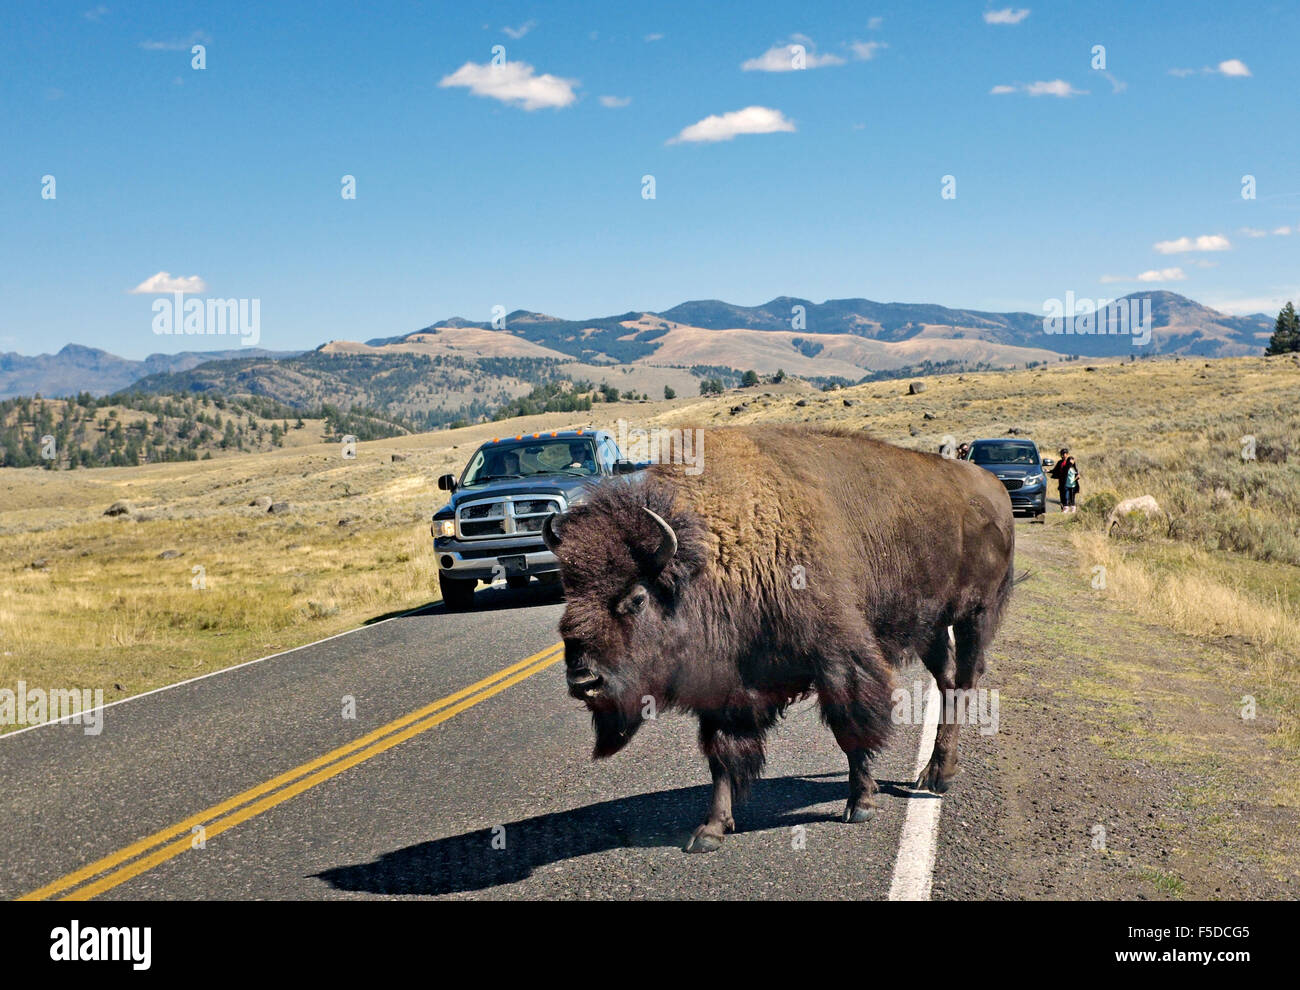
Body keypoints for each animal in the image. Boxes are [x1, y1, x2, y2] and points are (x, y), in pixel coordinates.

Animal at [542, 425, 1015, 853]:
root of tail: (993, 489)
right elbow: (721, 757)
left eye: (636, 598)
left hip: (974, 614)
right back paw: (934, 771)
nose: (583, 680)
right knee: (948, 681)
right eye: (569, 592)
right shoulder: (725, 688)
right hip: (931, 627)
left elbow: (852, 731)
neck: (718, 555)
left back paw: (939, 776)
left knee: (966, 680)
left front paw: (861, 803)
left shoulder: (839, 659)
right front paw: (710, 830)